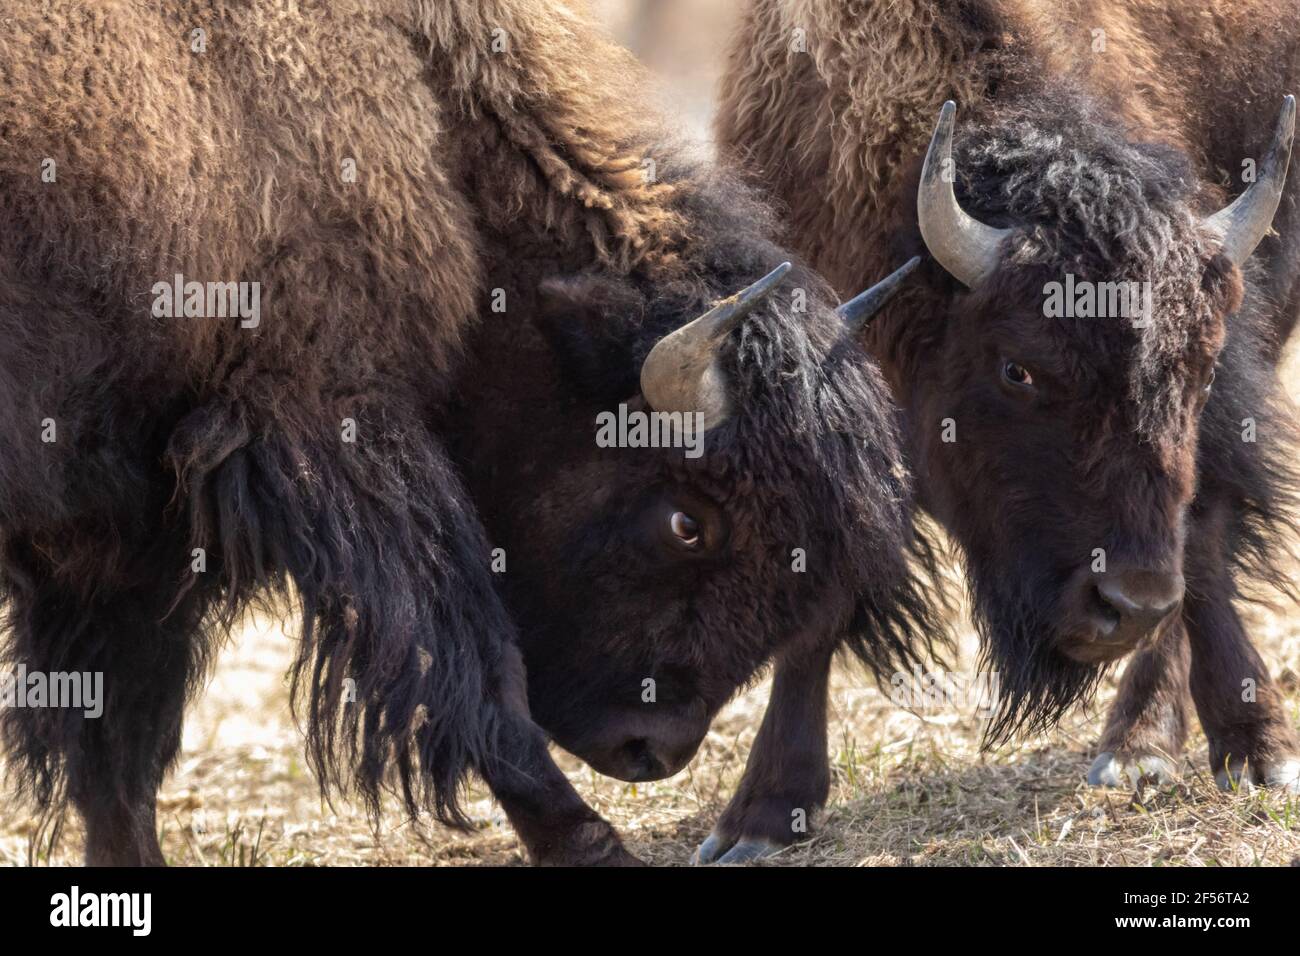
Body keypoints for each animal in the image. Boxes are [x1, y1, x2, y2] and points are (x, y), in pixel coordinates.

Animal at [0, 0, 937, 865]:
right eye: (687, 521)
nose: (653, 750)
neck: (434, 122)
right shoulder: (330, 426)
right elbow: (462, 661)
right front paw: (591, 844)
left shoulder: (123, 522)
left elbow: (119, 746)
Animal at [716, 0, 1300, 856]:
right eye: (1017, 369)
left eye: (1198, 365)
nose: (1129, 606)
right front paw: (760, 814)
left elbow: (1201, 535)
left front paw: (1259, 751)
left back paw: (1136, 746)